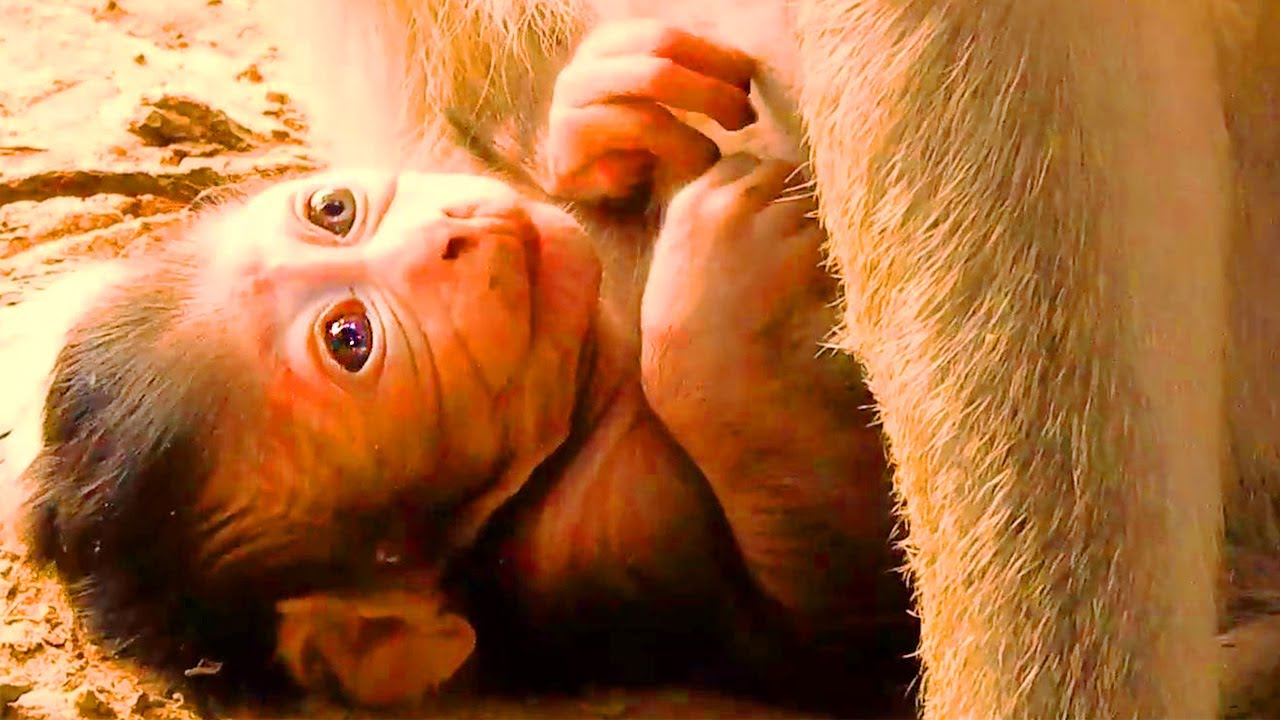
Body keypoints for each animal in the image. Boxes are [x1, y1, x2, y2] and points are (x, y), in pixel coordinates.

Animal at [13, 23, 914, 718]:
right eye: (349, 339)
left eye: (332, 210)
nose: (447, 237)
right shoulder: (596, 539)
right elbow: (830, 641)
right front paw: (709, 310)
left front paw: (596, 115)